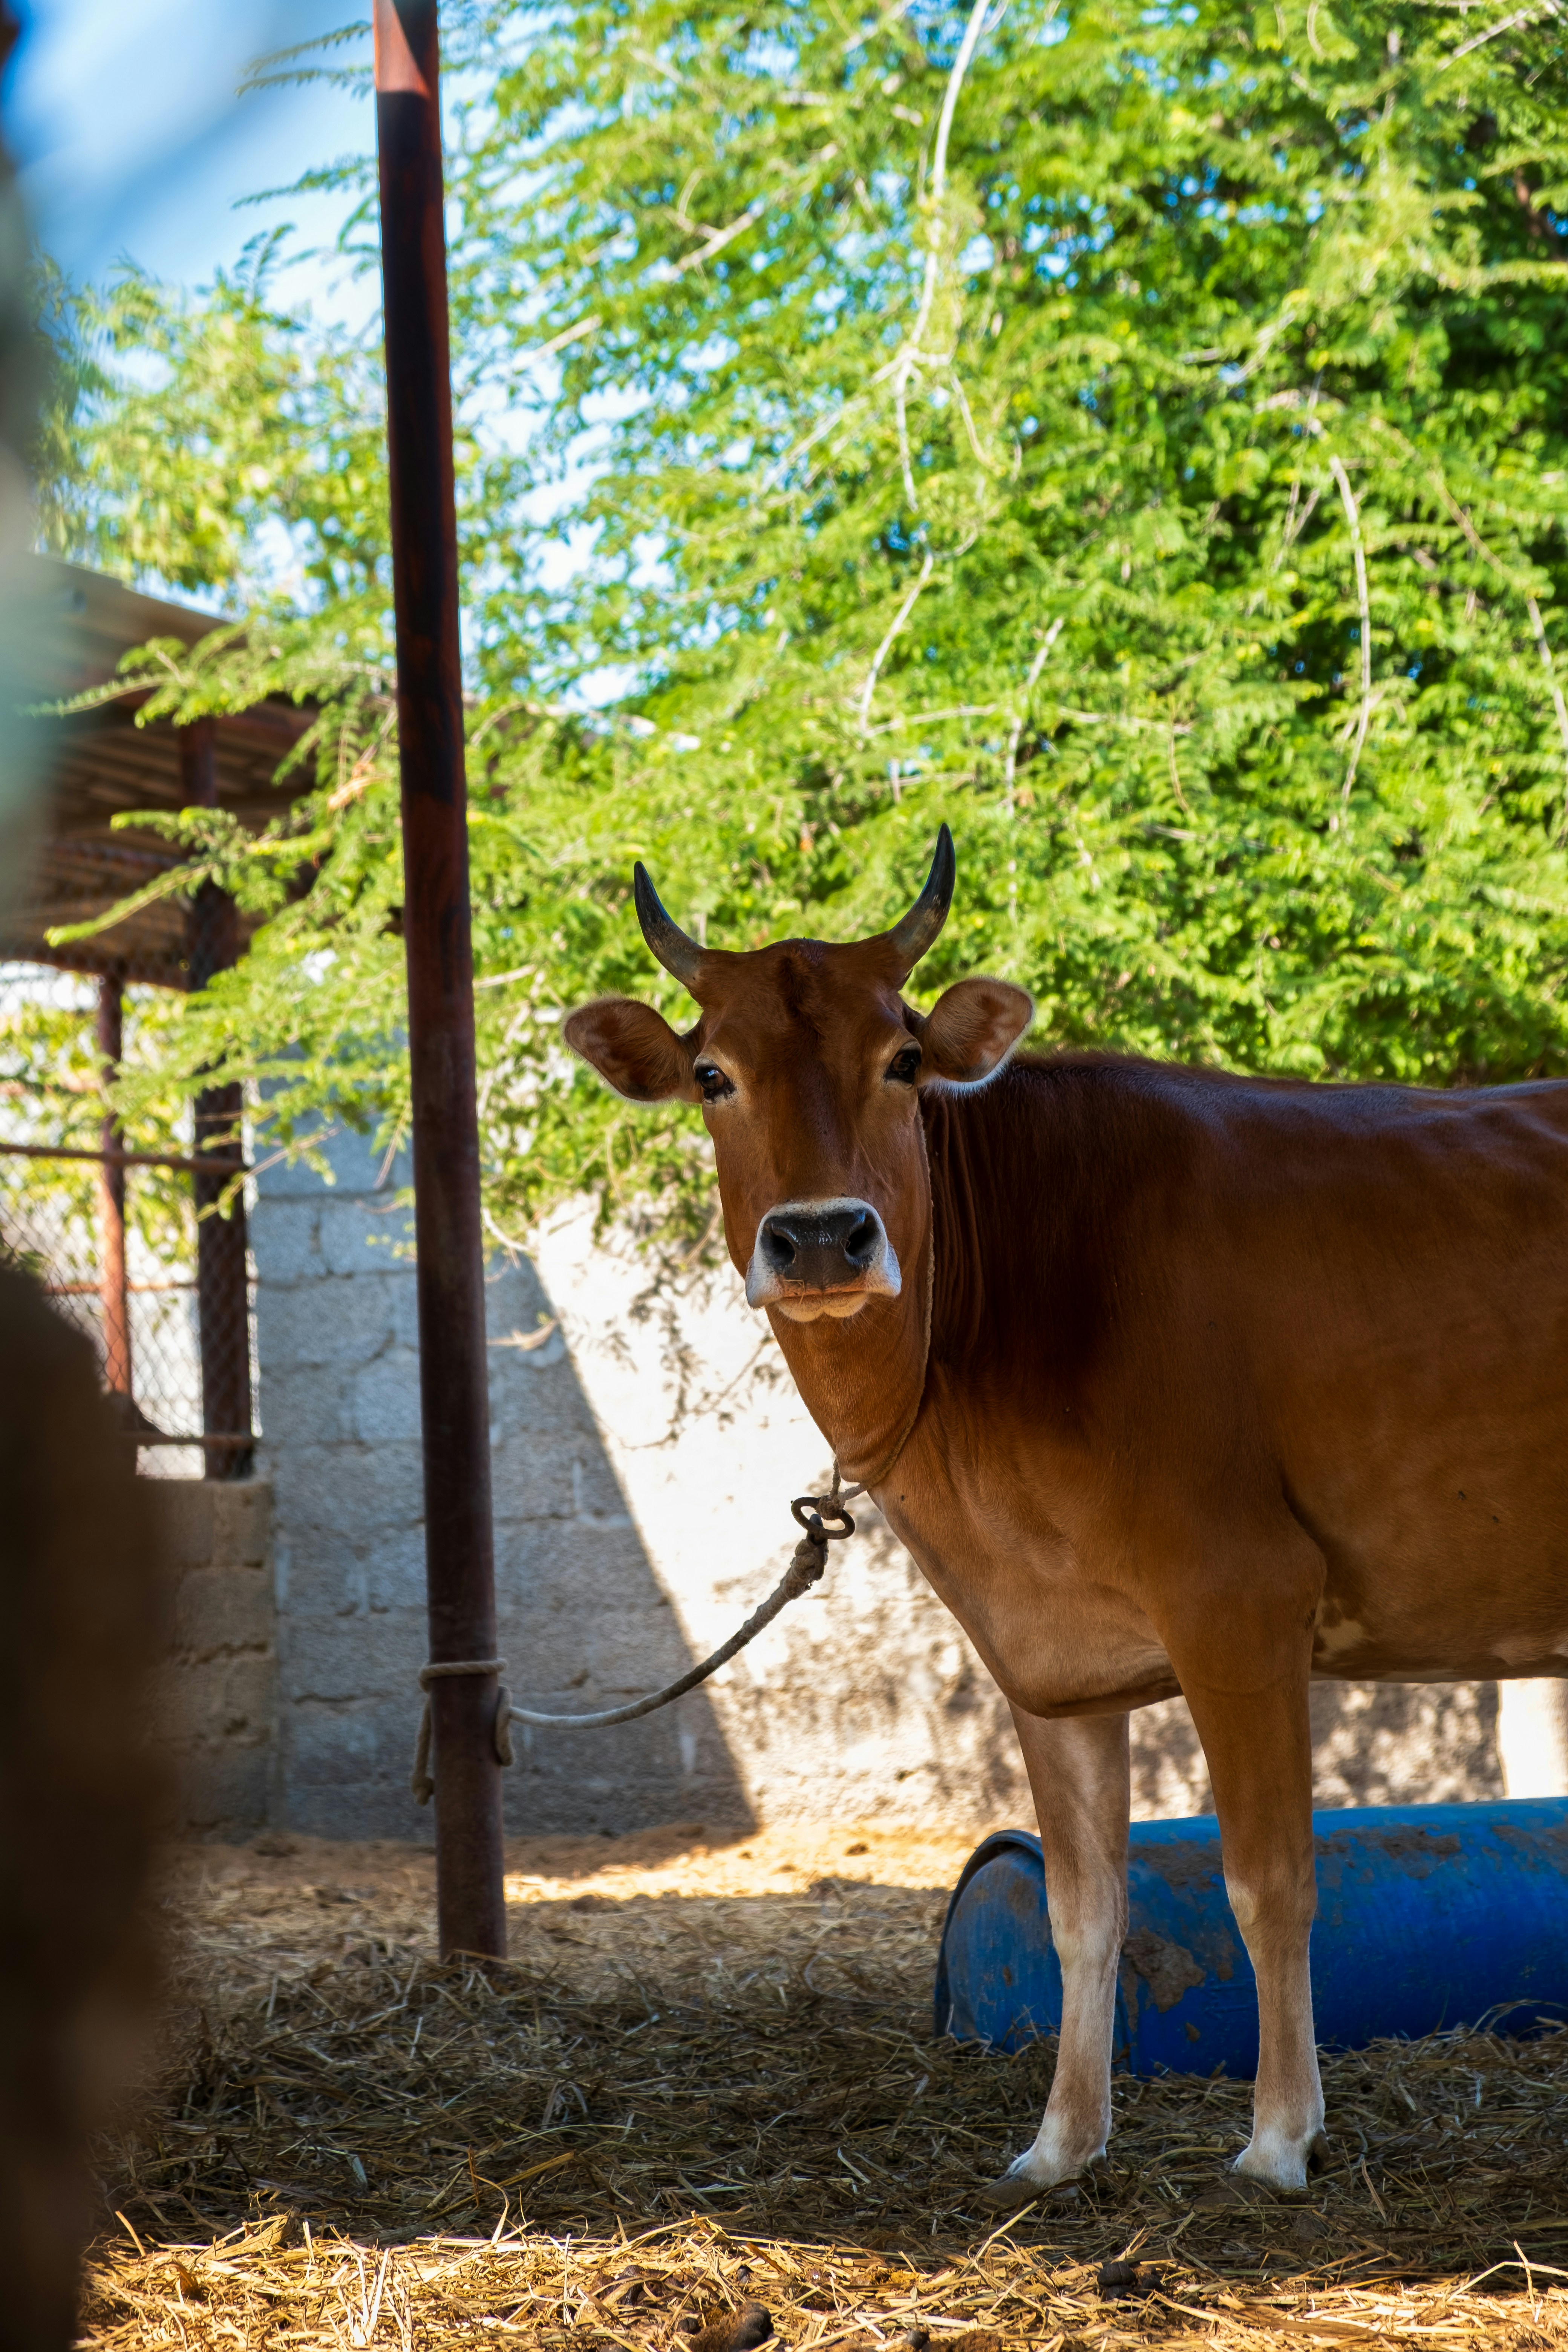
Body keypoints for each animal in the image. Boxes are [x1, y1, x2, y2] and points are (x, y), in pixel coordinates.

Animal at [564, 822, 1568, 2200]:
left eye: (904, 1062)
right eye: (713, 1073)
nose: (821, 1238)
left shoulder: (1241, 1594)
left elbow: (1269, 1881)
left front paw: (1277, 2139)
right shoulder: (1043, 1653)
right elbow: (1081, 1905)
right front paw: (1058, 2145)